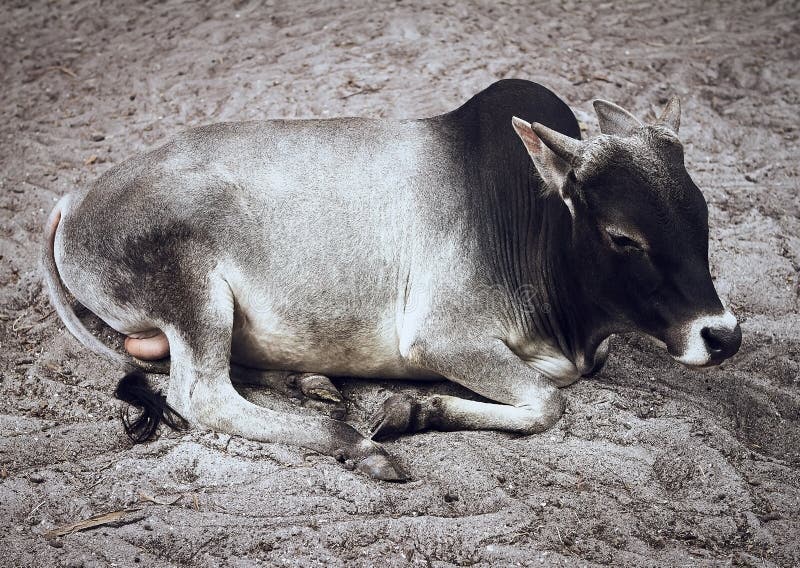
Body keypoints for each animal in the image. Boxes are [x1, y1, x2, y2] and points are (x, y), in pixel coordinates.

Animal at [43, 79, 741, 480]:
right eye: (624, 238)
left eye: (702, 216)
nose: (724, 337)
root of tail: (76, 199)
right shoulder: (439, 337)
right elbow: (551, 401)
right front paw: (409, 412)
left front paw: (415, 409)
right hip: (195, 297)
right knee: (202, 394)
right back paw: (354, 441)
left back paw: (312, 383)